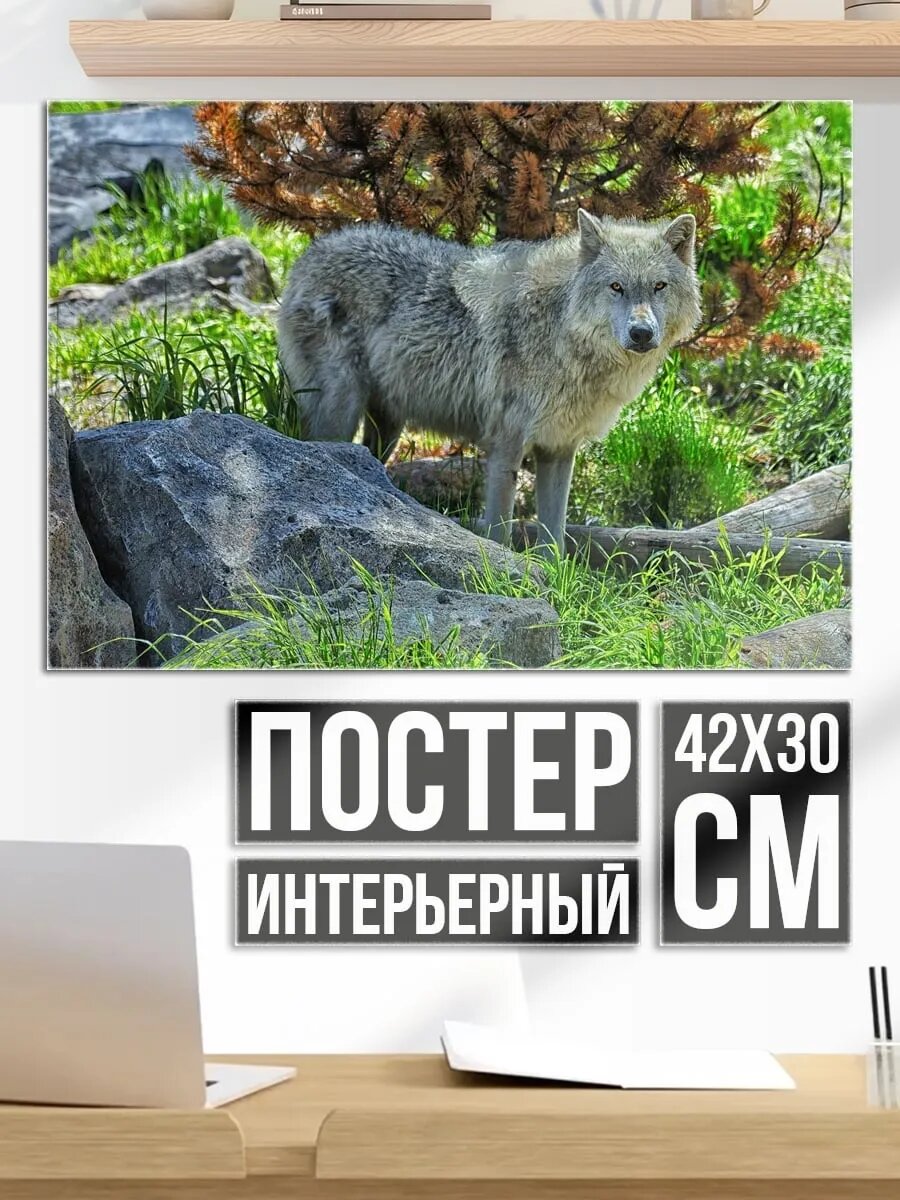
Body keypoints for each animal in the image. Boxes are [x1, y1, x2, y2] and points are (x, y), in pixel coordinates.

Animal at [278, 209, 701, 551]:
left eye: (659, 286)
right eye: (616, 287)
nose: (641, 333)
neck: (561, 332)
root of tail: (309, 254)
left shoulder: (558, 450)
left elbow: (555, 539)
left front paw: (553, 583)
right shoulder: (505, 446)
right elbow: (500, 528)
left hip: (387, 430)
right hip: (340, 414)